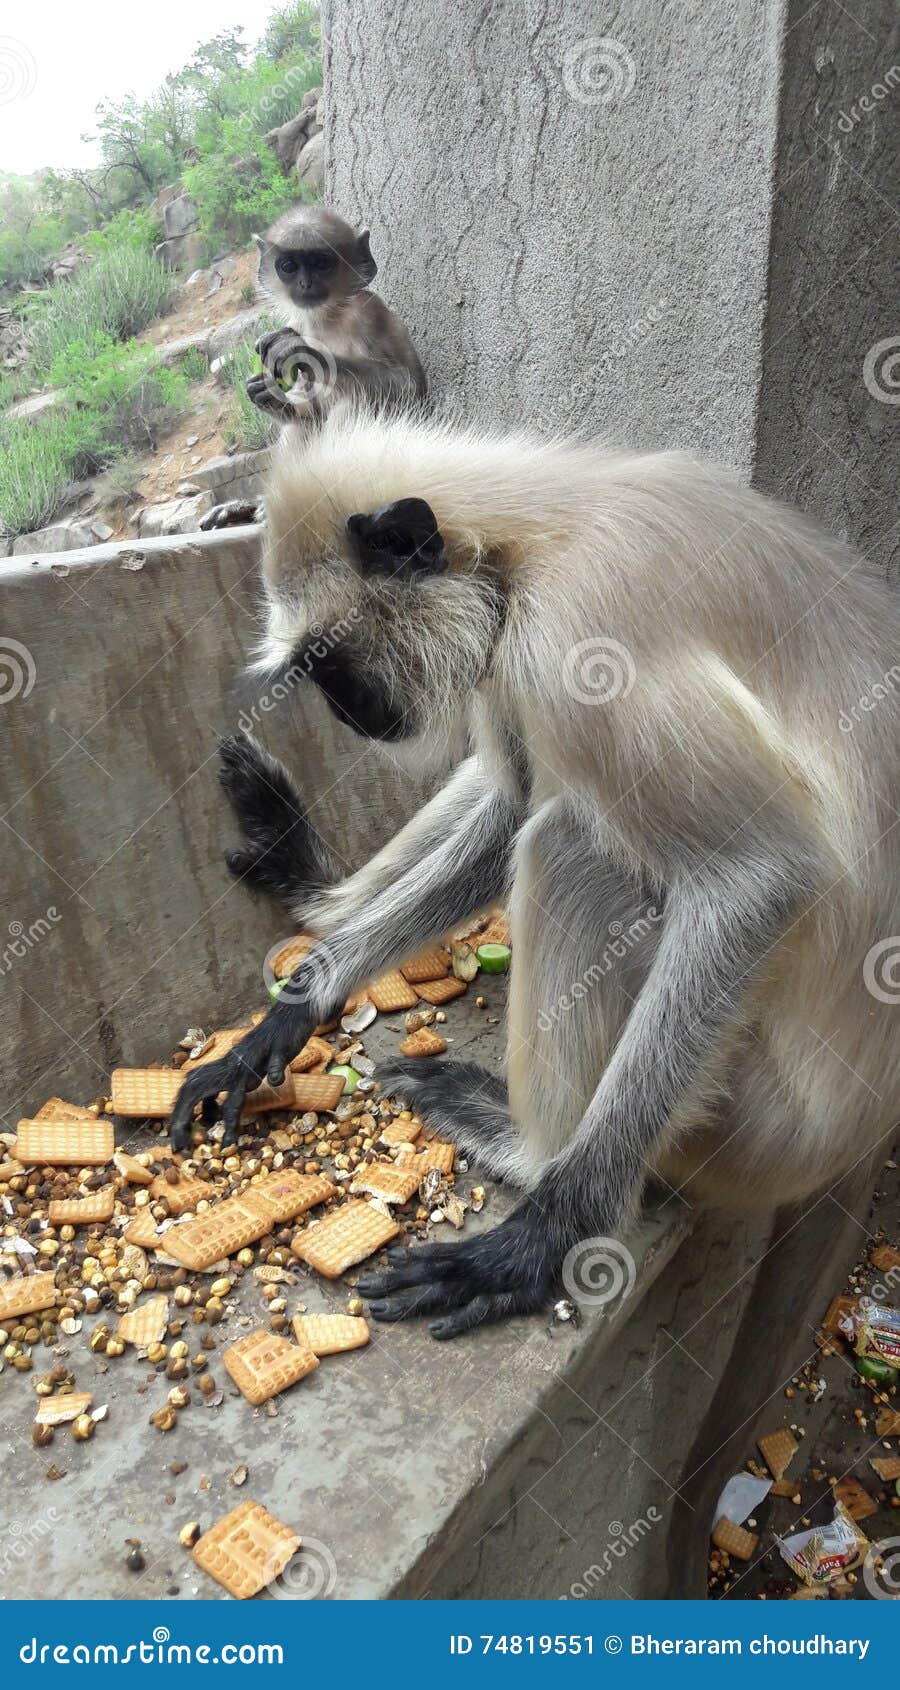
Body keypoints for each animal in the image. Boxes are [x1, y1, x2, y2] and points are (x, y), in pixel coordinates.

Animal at [171, 404, 900, 1341]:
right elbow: (511, 803)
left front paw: (545, 1235)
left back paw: (529, 1156)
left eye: (331, 664)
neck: (535, 534)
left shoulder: (576, 638)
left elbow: (760, 877)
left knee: (575, 847)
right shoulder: (514, 648)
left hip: (743, 1124)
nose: (349, 714)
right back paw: (317, 891)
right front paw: (296, 1007)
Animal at [200, 205, 427, 532]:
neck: (327, 316)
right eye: (289, 266)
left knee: (354, 403)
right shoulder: (298, 320)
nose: (305, 284)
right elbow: (306, 409)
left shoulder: (368, 312)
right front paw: (266, 393)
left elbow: (407, 385)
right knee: (302, 425)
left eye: (322, 263)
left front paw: (300, 350)